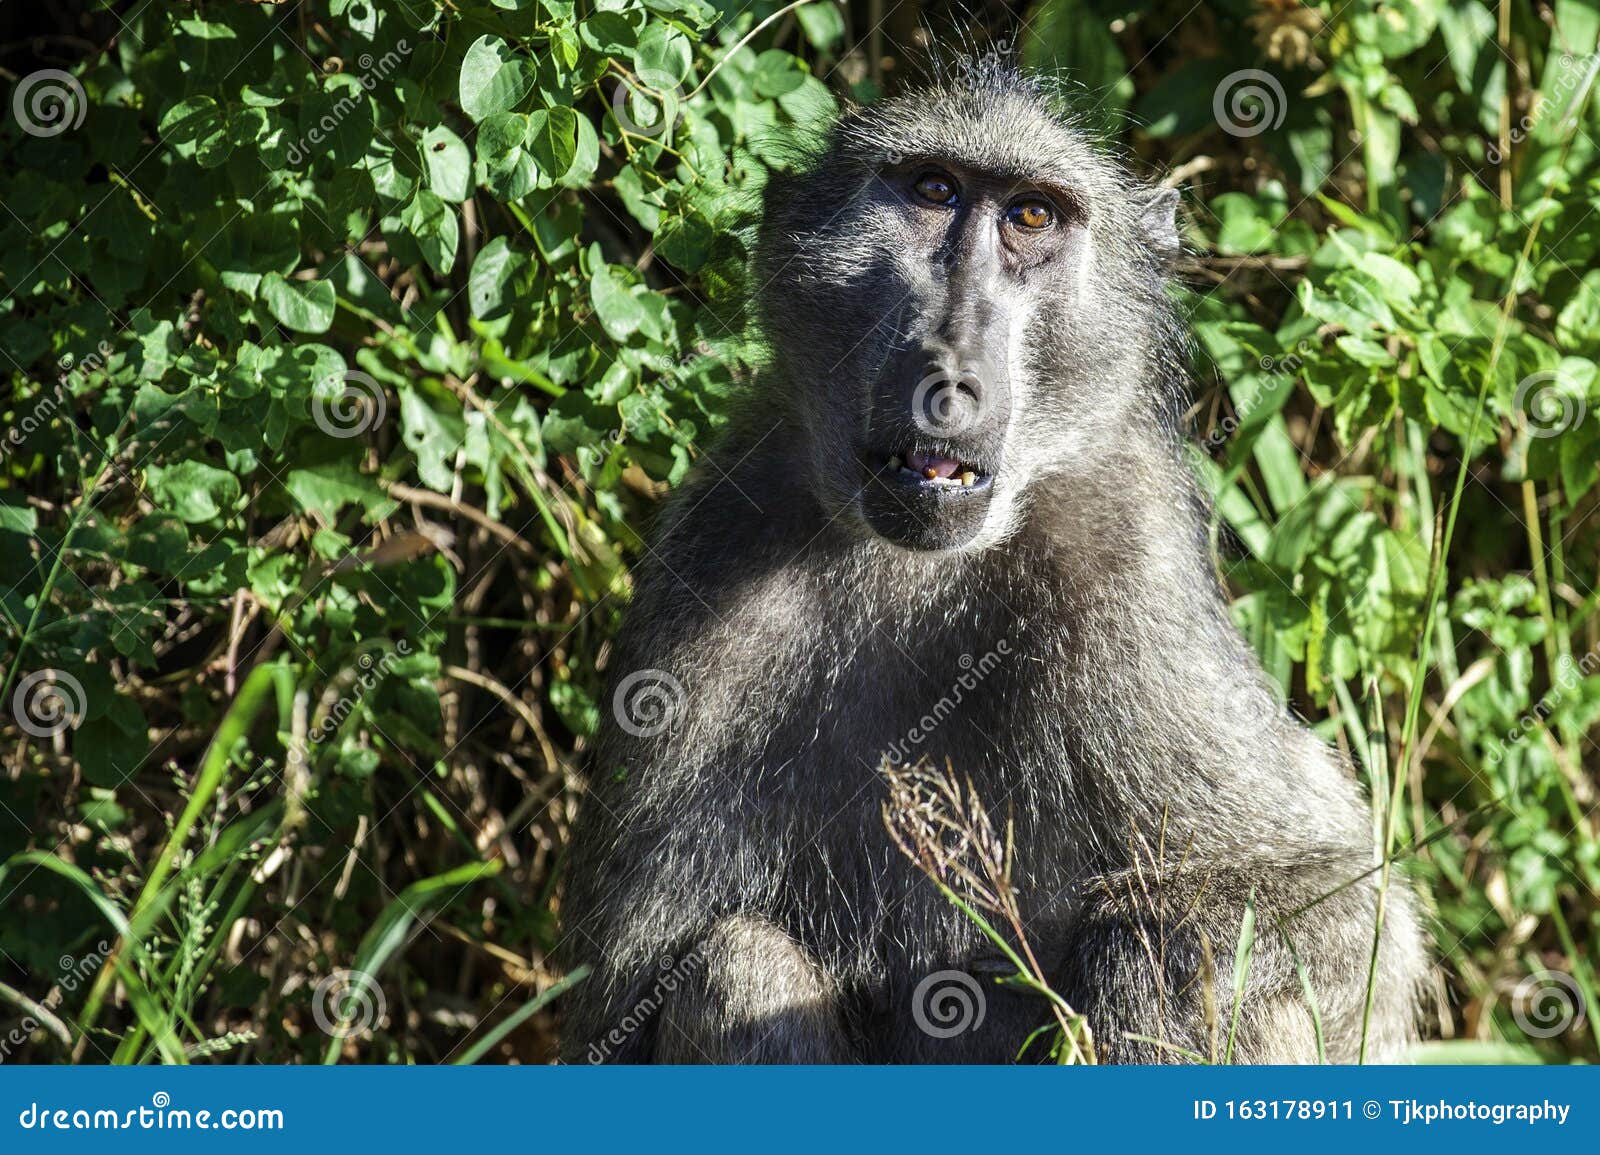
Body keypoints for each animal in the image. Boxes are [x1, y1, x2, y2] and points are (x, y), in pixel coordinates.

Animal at [559, 61, 1429, 1064]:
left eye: (1032, 218)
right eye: (933, 191)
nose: (951, 367)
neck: (916, 563)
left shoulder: (1130, 568)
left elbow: (1341, 903)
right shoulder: (716, 553)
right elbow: (626, 1000)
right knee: (737, 962)